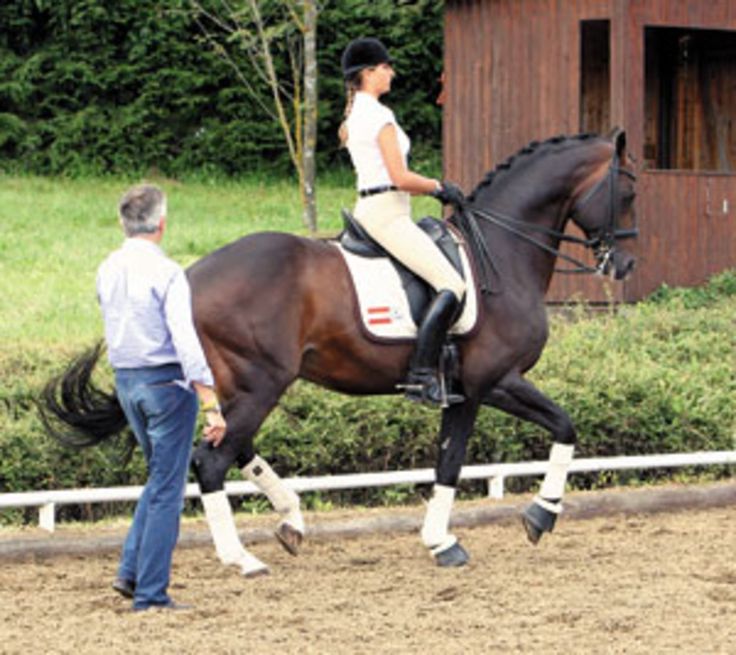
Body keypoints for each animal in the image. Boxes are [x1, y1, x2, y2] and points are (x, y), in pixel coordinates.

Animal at [43, 131, 636, 572]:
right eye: (628, 193)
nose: (624, 265)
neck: (503, 254)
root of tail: (186, 277)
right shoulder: (492, 382)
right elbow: (554, 429)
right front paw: (536, 517)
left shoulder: (466, 391)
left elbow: (453, 461)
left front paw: (443, 539)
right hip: (261, 382)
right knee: (211, 459)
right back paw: (241, 556)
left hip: (236, 383)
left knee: (232, 448)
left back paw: (291, 520)